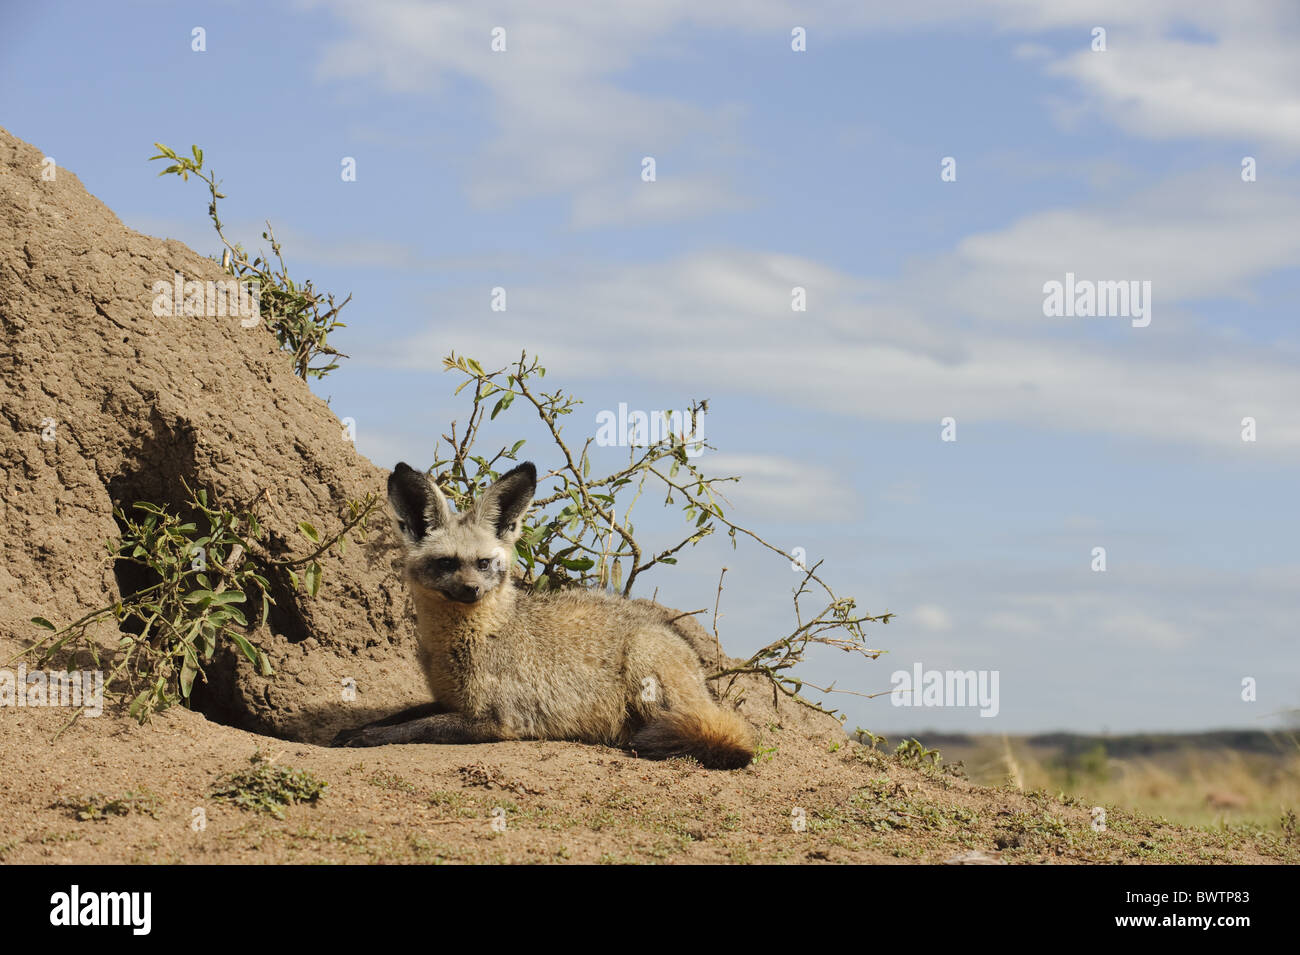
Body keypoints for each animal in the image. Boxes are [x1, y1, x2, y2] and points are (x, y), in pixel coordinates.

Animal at [332, 461, 755, 769]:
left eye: (484, 564)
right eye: (447, 563)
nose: (471, 590)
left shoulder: (497, 719)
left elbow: (420, 727)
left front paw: (366, 737)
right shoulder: (453, 700)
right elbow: (403, 714)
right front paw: (359, 727)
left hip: (644, 667)